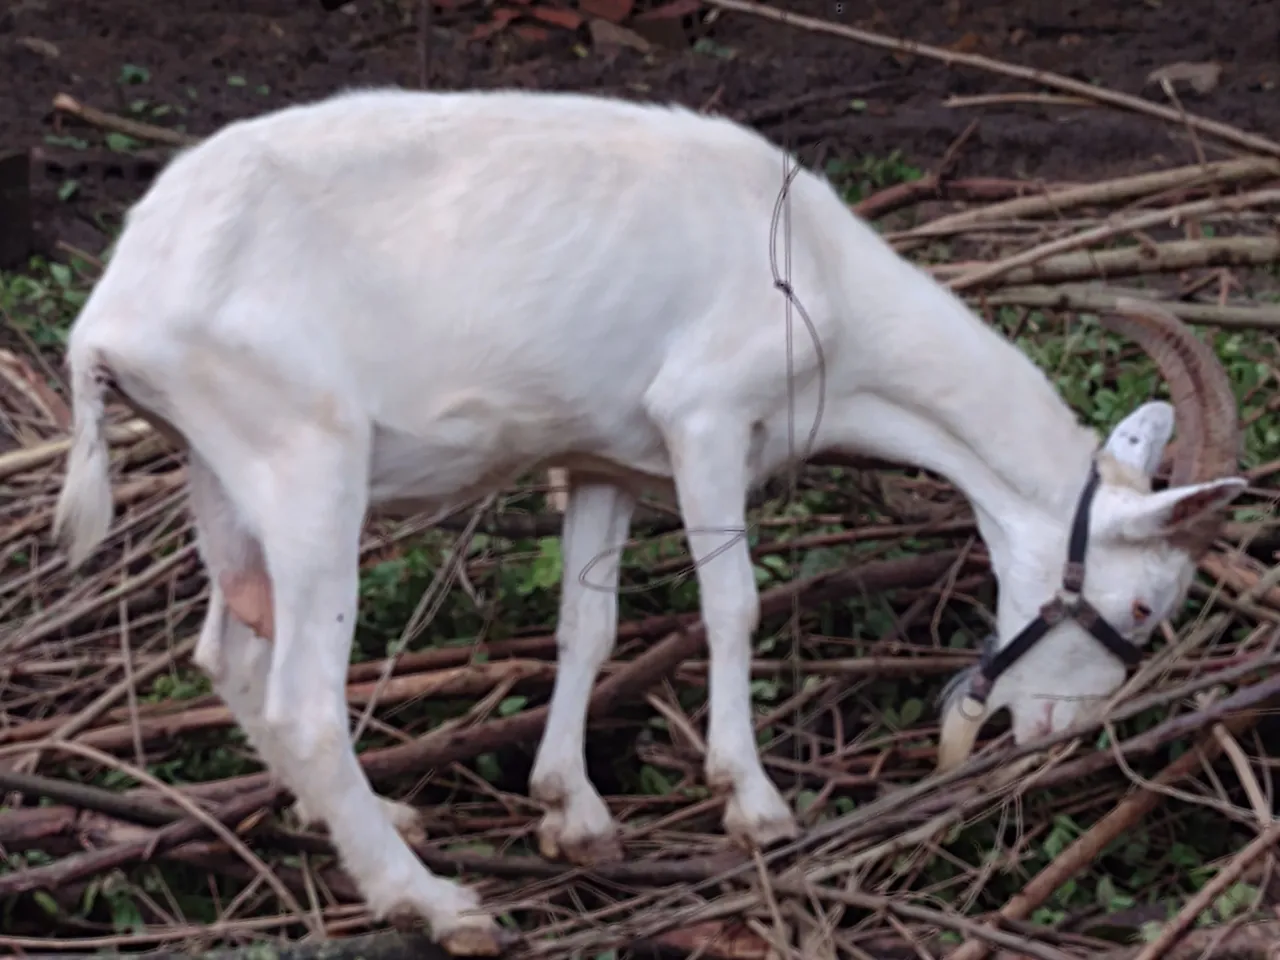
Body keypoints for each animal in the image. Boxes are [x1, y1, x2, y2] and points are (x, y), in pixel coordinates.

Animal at [53, 87, 1245, 955]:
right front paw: (751, 802)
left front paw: (571, 812)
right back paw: (433, 903)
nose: (1053, 735)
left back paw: (360, 824)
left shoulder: (603, 458)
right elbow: (732, 604)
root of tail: (108, 314)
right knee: (300, 693)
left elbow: (590, 626)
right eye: (1147, 606)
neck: (816, 278)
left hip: (219, 465)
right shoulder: (703, 417)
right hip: (305, 458)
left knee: (232, 654)